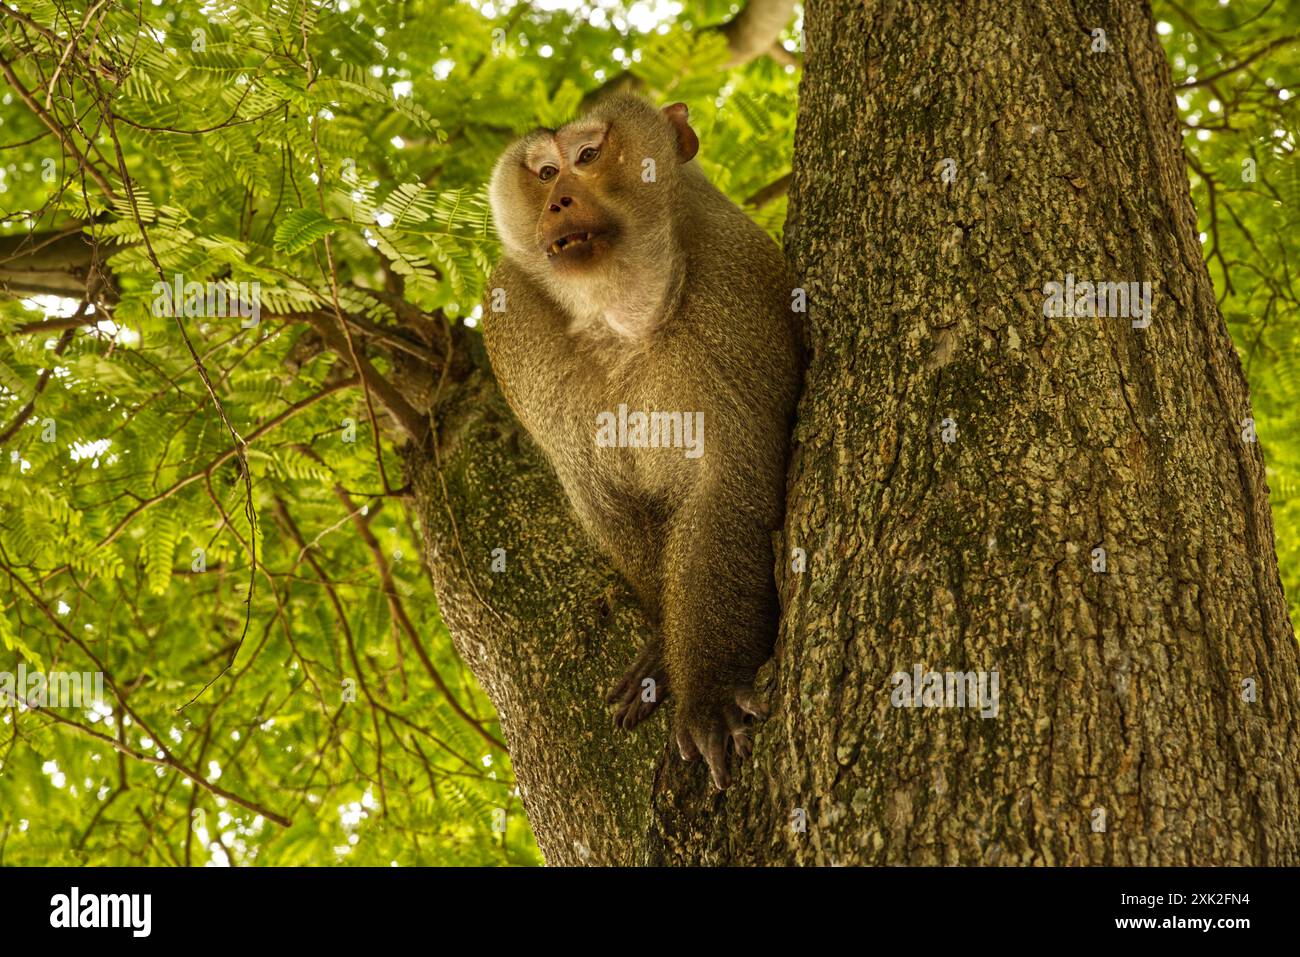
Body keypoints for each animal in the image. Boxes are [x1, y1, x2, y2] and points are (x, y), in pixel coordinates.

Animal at [482, 94, 803, 790]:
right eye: (544, 173)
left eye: (587, 156)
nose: (558, 202)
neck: (620, 318)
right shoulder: (511, 324)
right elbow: (608, 503)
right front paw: (663, 647)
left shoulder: (733, 285)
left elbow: (732, 480)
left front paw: (709, 684)